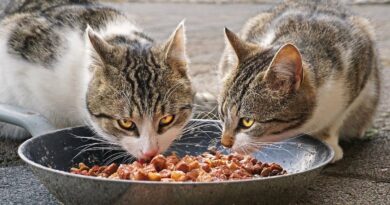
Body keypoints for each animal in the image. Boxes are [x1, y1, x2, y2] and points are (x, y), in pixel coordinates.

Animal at [218, 0, 380, 163]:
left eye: (247, 122)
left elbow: (336, 119)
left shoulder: (360, 68)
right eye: (222, 113)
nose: (224, 143)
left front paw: (328, 141)